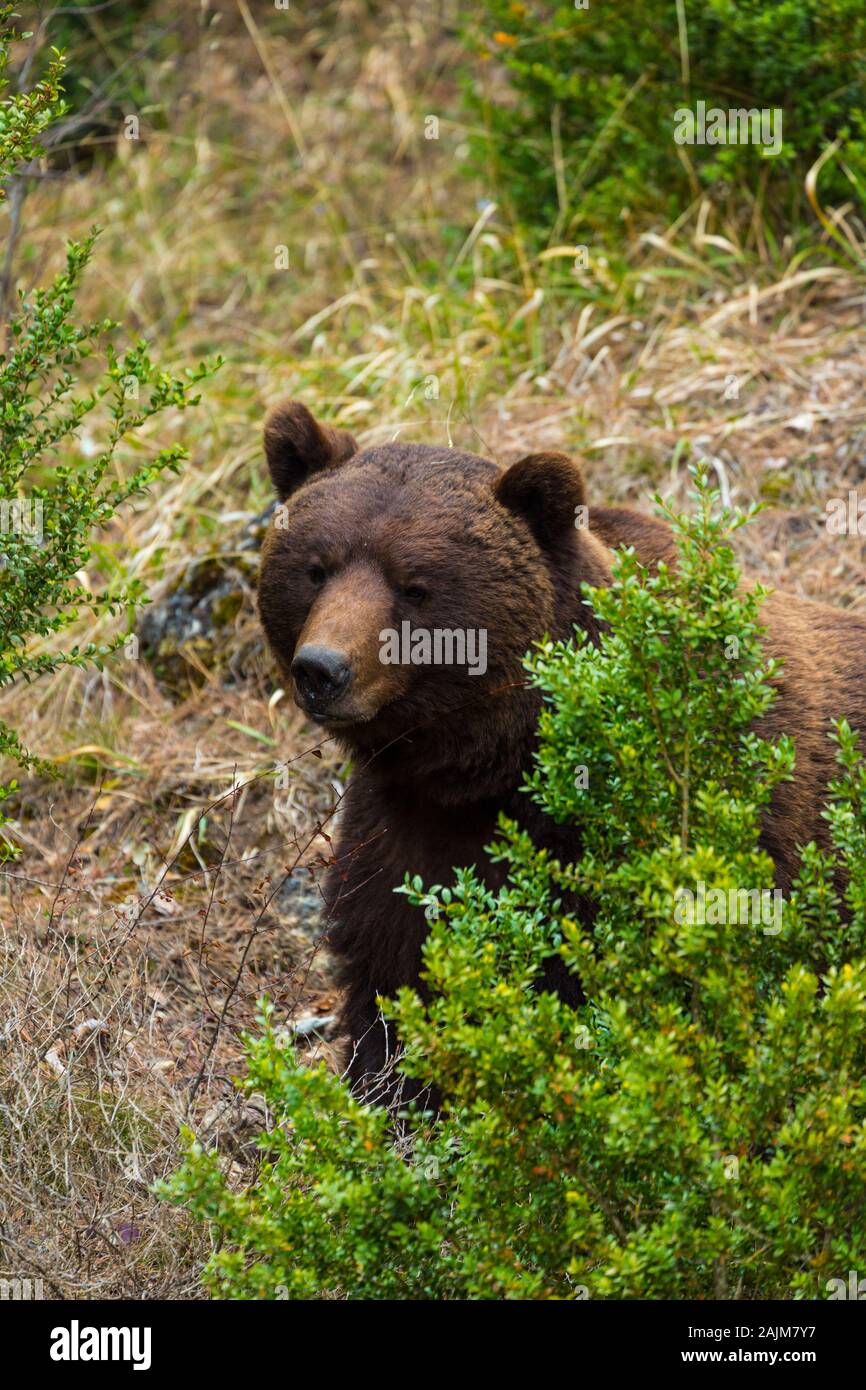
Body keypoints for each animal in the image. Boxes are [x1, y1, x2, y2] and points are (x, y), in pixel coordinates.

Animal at [258, 400, 866, 1103]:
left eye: (414, 586)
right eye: (315, 568)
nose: (322, 669)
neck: (488, 761)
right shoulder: (398, 831)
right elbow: (392, 988)